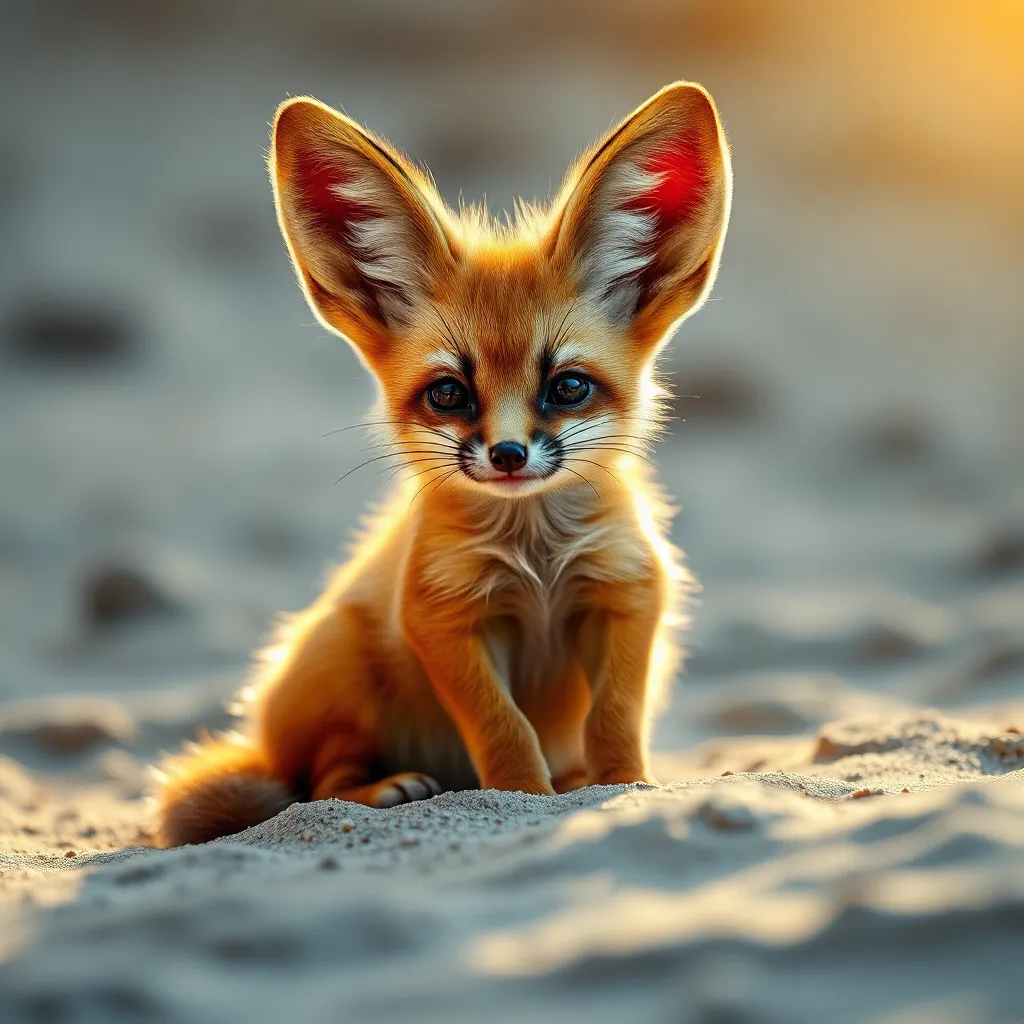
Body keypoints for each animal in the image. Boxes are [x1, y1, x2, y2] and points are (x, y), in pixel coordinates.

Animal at [153, 81, 731, 847]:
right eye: (449, 394)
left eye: (568, 387)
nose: (509, 455)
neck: (538, 565)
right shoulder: (442, 616)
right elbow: (504, 728)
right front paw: (523, 796)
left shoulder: (628, 592)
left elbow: (614, 722)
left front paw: (623, 788)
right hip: (344, 663)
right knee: (320, 787)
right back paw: (384, 788)